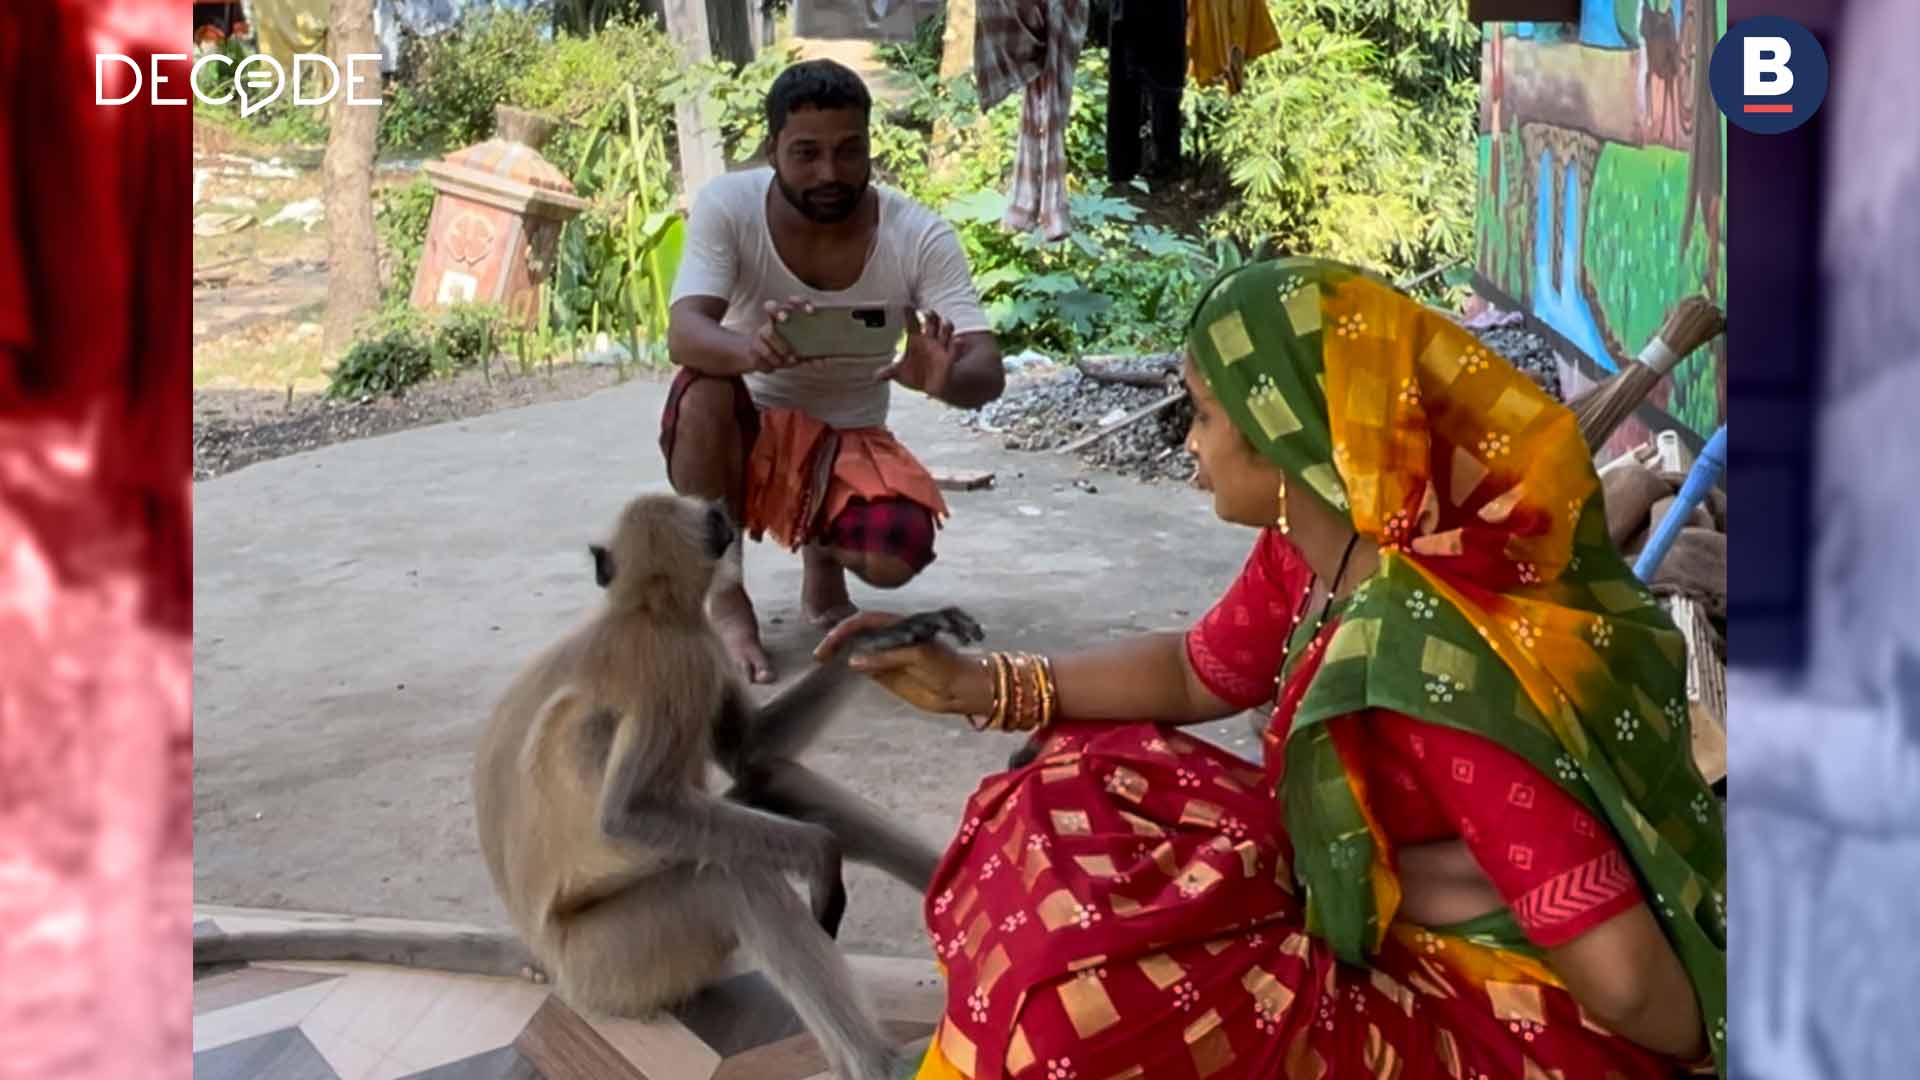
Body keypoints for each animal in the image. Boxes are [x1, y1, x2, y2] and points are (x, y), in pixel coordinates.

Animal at [471, 492, 982, 1080]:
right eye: (714, 519)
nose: (724, 511)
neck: (643, 610)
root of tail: (554, 969)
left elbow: (750, 751)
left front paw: (877, 636)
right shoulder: (676, 660)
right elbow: (630, 813)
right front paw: (819, 854)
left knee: (775, 781)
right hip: (617, 964)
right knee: (734, 877)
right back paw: (876, 1063)